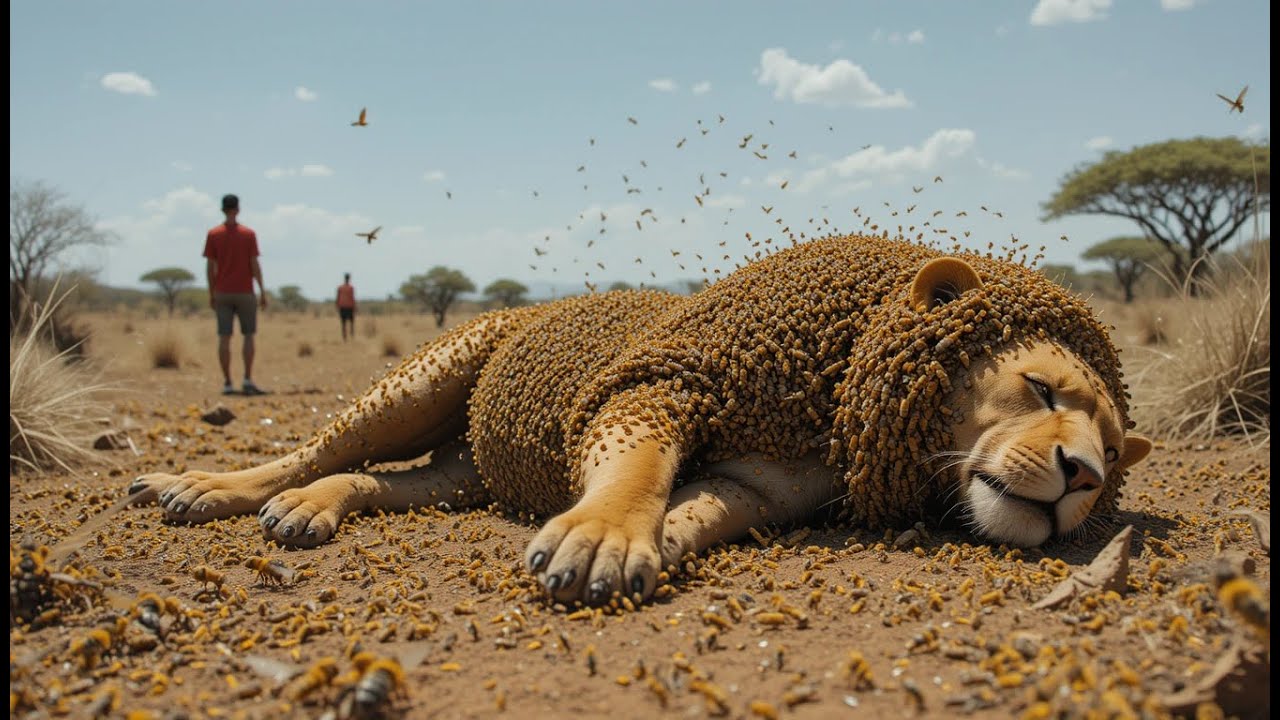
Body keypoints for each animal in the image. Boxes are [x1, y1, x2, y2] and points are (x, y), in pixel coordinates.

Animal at [128, 234, 1152, 605]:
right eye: (1043, 390)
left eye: (1113, 450)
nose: (1083, 478)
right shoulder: (661, 382)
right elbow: (639, 467)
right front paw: (602, 536)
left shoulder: (758, 488)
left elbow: (693, 511)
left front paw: (641, 548)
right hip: (423, 382)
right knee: (310, 448)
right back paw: (199, 486)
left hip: (466, 471)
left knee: (380, 481)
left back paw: (315, 509)